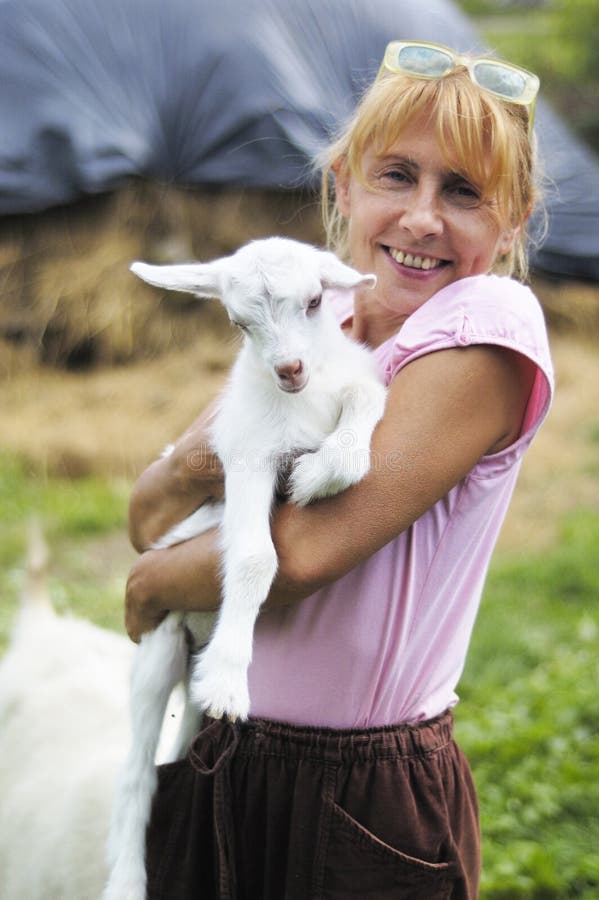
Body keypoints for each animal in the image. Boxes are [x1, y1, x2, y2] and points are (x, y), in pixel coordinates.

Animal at [103, 237, 387, 899]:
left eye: (315, 300)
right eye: (238, 322)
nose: (290, 370)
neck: (300, 403)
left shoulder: (354, 381)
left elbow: (366, 401)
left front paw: (320, 473)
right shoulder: (247, 456)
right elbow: (257, 558)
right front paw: (232, 682)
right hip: (158, 647)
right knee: (137, 775)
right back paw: (126, 878)